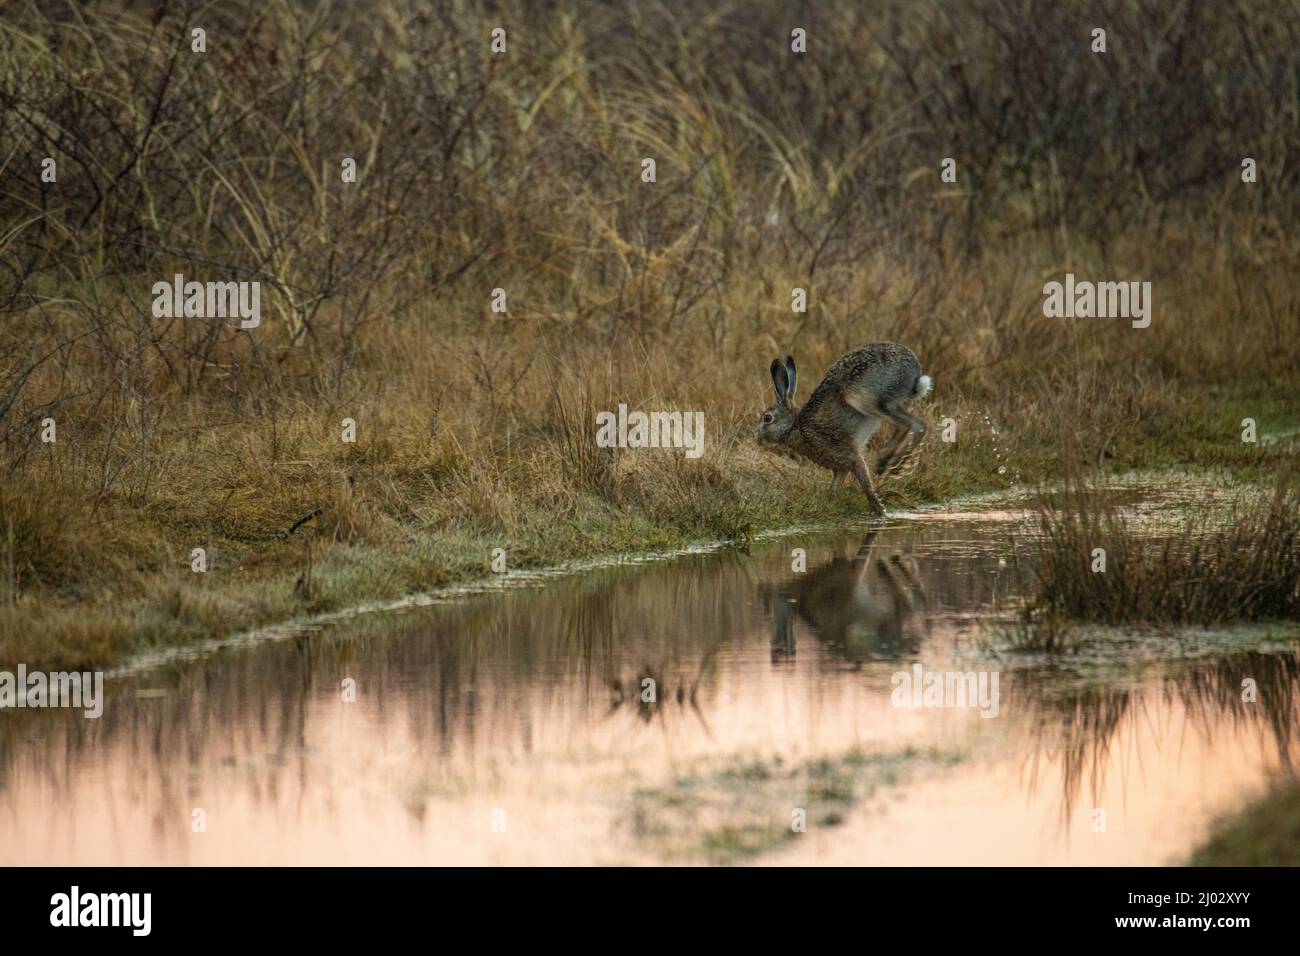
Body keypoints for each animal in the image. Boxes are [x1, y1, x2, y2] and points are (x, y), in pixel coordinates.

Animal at [755, 343, 932, 516]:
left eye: (767, 418)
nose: (757, 438)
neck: (796, 427)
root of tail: (914, 370)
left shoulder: (849, 455)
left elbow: (865, 482)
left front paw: (880, 511)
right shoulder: (840, 468)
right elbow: (833, 487)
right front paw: (829, 503)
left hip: (861, 397)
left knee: (908, 425)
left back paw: (886, 463)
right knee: (917, 425)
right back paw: (893, 465)